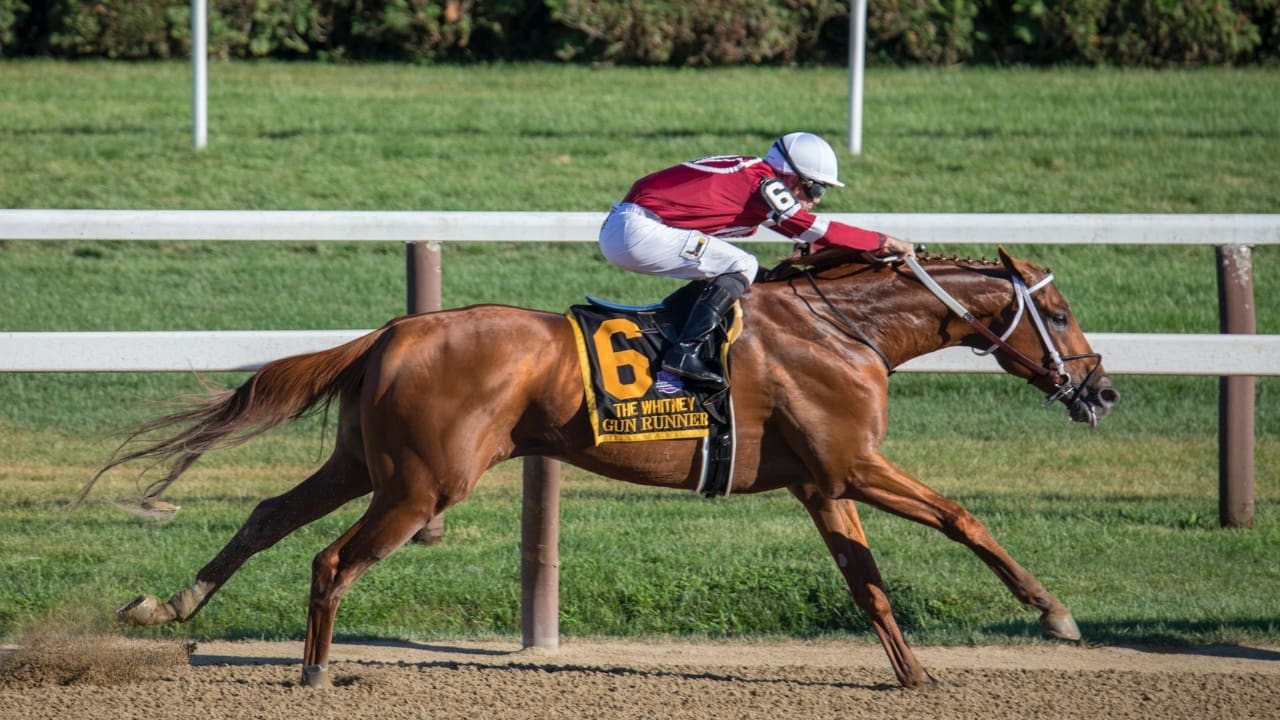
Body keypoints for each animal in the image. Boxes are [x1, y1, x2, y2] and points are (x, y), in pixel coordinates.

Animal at [85, 245, 1118, 689]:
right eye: (1061, 314)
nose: (1101, 390)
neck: (845, 328)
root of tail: (394, 332)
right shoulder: (852, 466)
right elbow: (963, 519)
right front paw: (1056, 614)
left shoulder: (823, 483)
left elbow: (867, 585)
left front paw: (914, 677)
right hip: (422, 484)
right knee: (333, 560)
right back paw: (312, 677)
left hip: (364, 466)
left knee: (268, 514)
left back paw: (167, 605)